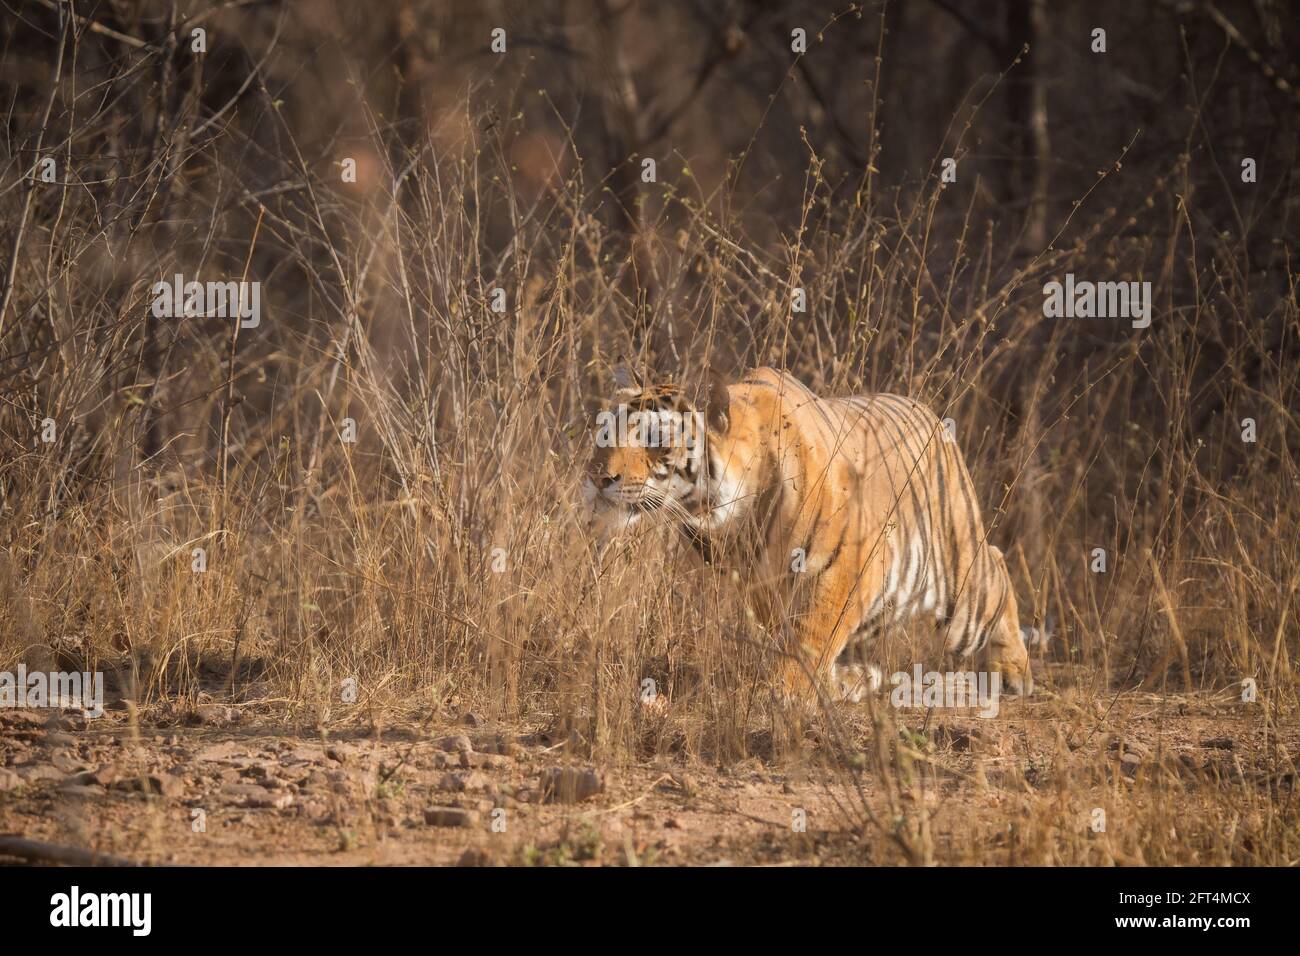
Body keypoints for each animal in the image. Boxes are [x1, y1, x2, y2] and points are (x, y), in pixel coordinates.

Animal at [581, 364, 1040, 706]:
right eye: (604, 431)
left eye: (655, 439)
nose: (597, 477)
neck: (722, 518)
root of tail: (933, 418)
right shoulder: (759, 585)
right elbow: (792, 630)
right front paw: (835, 683)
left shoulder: (850, 565)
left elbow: (813, 634)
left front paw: (784, 690)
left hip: (957, 584)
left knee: (996, 567)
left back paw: (1013, 673)